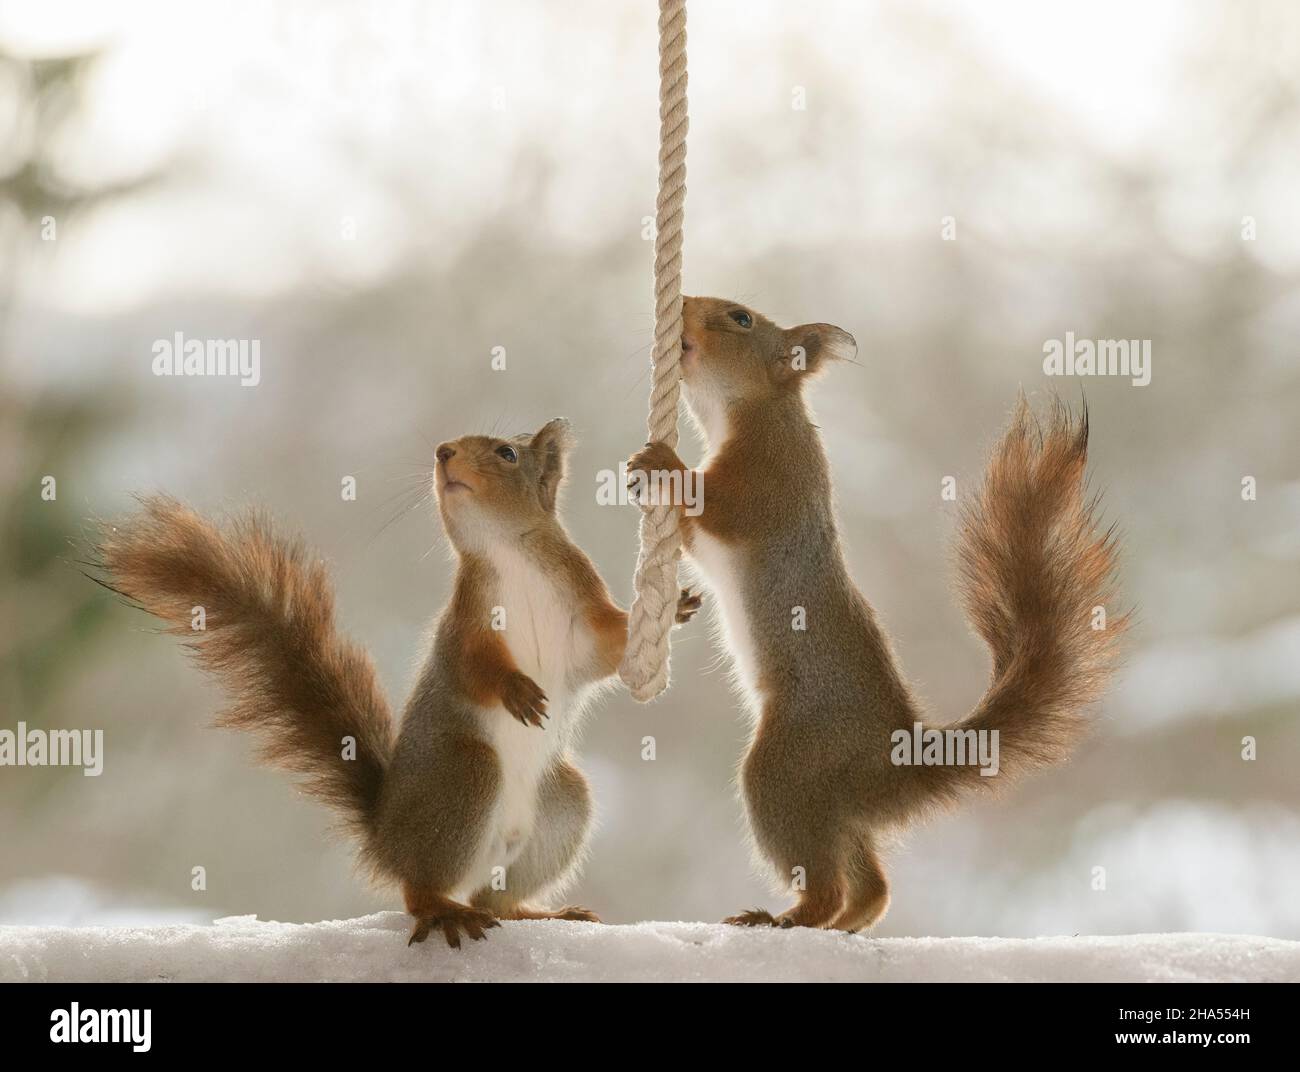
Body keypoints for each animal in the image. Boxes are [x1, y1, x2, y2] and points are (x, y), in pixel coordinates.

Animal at [95, 417, 701, 948]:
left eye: (507, 453)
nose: (443, 452)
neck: (508, 550)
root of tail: (389, 838)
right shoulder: (464, 627)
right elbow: (474, 669)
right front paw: (516, 690)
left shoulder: (582, 614)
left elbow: (610, 649)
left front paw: (674, 607)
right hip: (465, 775)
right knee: (423, 891)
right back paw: (443, 909)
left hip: (560, 802)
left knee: (494, 900)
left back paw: (543, 913)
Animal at [627, 296, 1127, 933]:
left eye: (741, 319)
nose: (686, 303)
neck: (751, 412)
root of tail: (889, 764)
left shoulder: (773, 482)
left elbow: (721, 508)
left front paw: (662, 464)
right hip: (834, 810)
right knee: (872, 888)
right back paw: (842, 924)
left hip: (790, 768)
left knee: (827, 884)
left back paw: (787, 918)